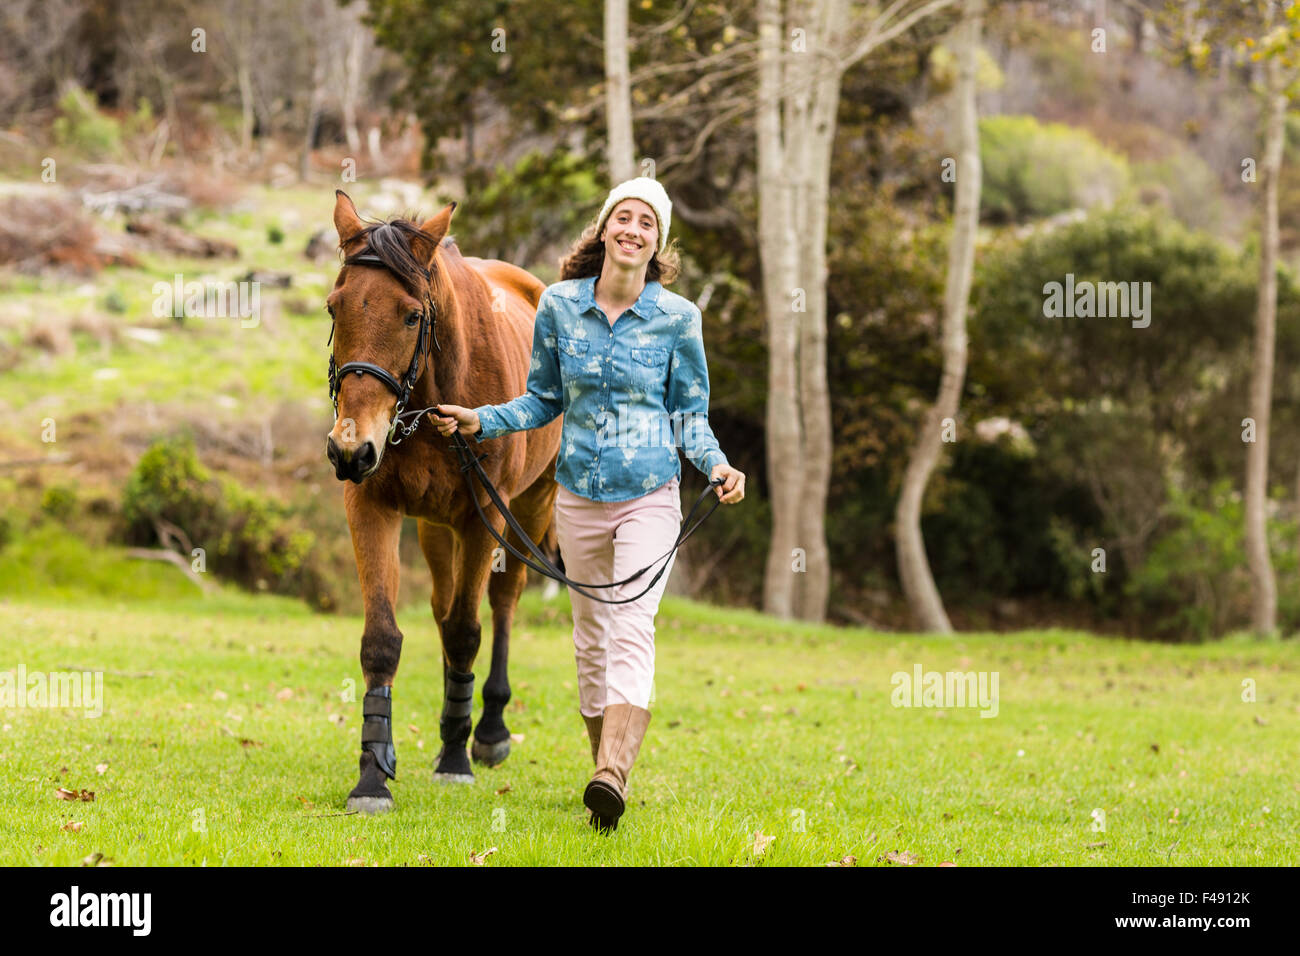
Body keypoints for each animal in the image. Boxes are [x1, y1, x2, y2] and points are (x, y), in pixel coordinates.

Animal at [323, 190, 562, 813]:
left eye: (411, 315)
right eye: (335, 308)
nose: (349, 448)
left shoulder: (484, 519)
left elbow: (465, 632)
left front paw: (456, 755)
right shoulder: (372, 507)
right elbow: (383, 640)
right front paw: (373, 773)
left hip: (529, 507)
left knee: (500, 602)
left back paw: (489, 728)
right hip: (435, 527)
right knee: (441, 602)